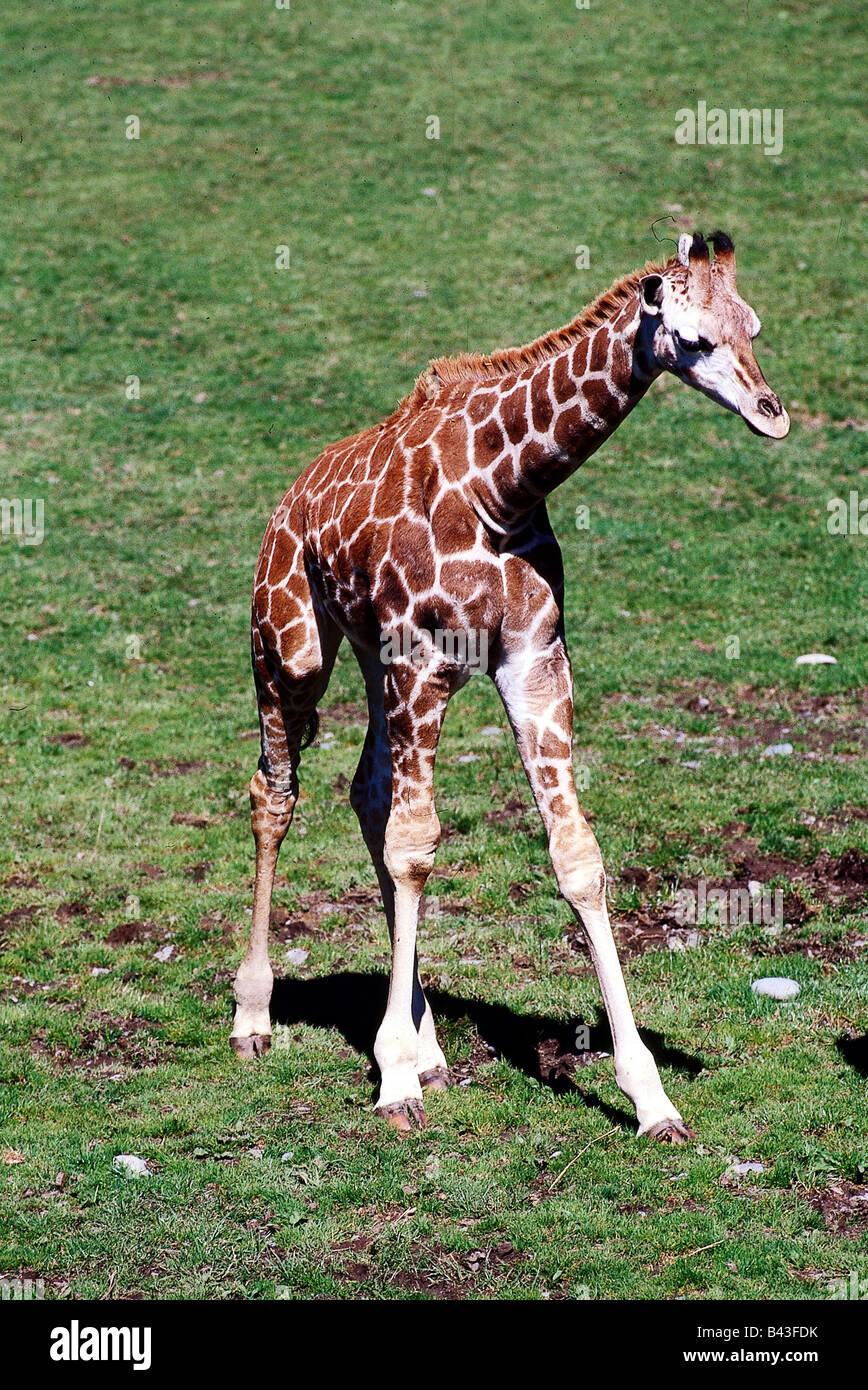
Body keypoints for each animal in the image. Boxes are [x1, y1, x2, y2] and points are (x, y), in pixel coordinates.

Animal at [231, 231, 789, 1139]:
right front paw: (394, 1083)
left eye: (754, 326)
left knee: (367, 791)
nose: (772, 414)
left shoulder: (531, 660)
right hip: (291, 647)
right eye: (694, 338)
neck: (502, 488)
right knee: (276, 793)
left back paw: (427, 1043)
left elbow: (576, 858)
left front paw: (651, 1099)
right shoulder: (420, 658)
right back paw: (254, 1017)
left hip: (372, 658)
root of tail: (290, 499)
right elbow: (417, 846)